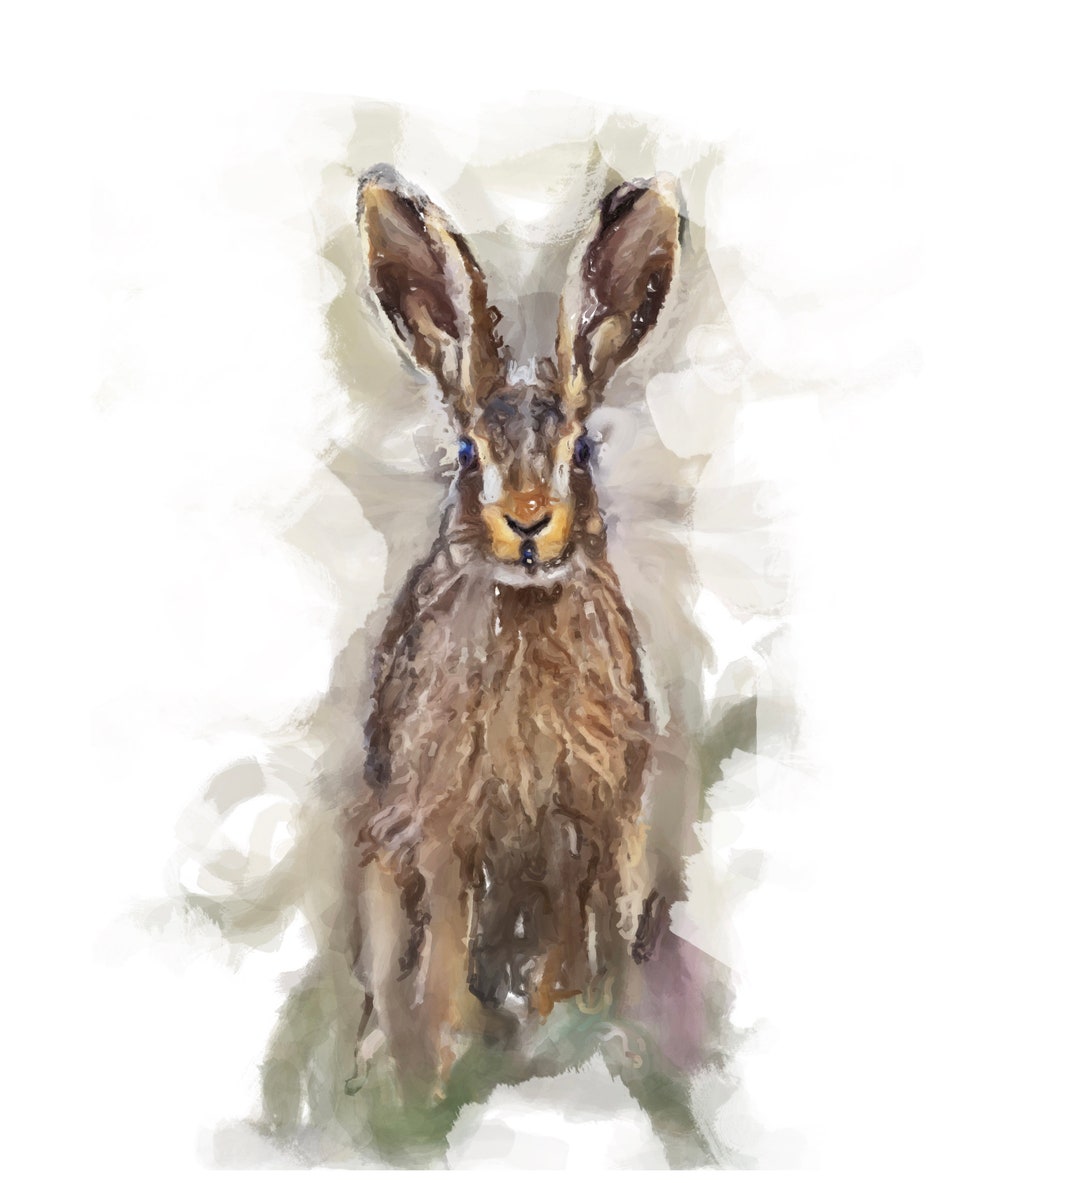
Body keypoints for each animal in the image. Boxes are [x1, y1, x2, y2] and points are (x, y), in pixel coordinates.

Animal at [349, 164, 690, 1116]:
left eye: (583, 455)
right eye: (469, 455)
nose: (530, 523)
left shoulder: (590, 828)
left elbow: (575, 950)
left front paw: (569, 1029)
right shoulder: (441, 835)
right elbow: (443, 964)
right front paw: (440, 1070)